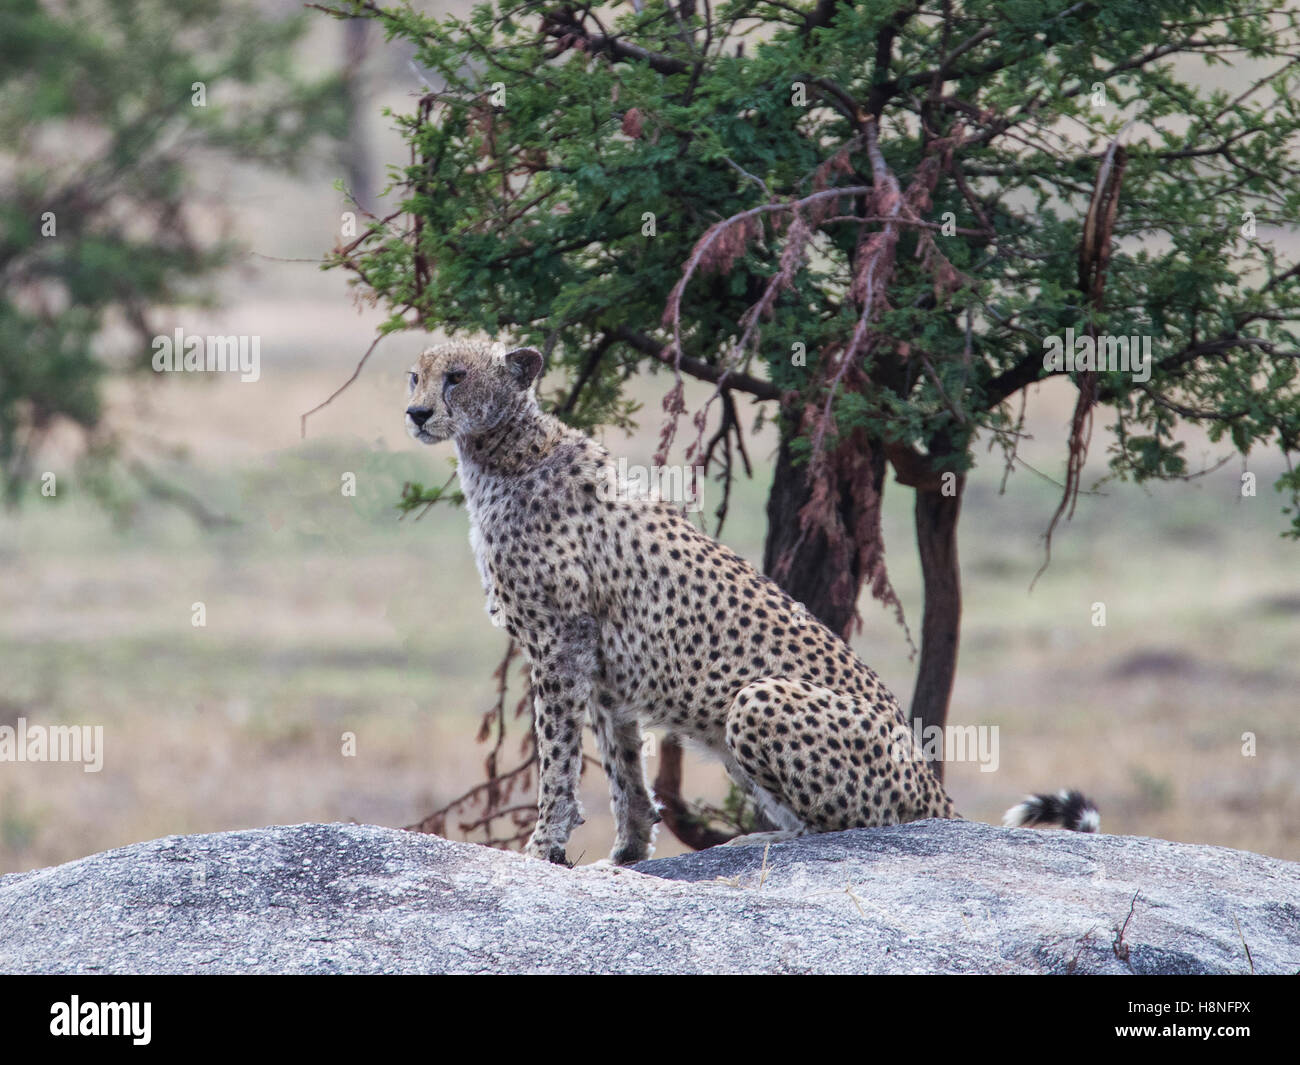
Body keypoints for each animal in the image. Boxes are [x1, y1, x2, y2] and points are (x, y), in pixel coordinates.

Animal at [404, 339, 1098, 865]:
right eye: (417, 374)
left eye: (457, 376)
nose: (415, 412)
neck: (508, 450)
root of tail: (927, 775)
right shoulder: (597, 664)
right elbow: (624, 769)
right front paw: (627, 854)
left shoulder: (558, 643)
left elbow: (559, 757)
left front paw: (544, 846)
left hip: (756, 700)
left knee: (851, 826)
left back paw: (767, 841)